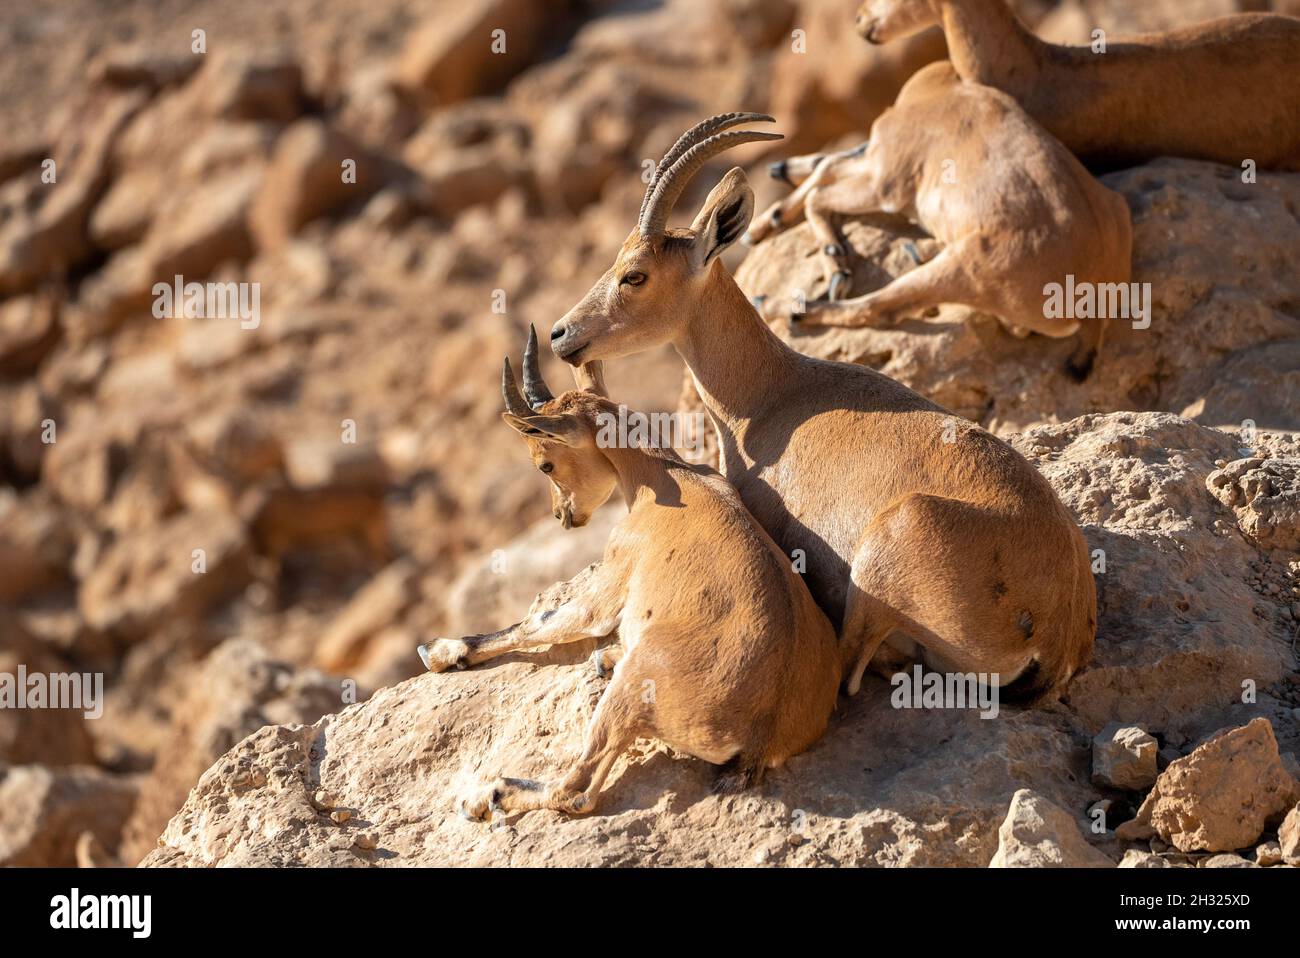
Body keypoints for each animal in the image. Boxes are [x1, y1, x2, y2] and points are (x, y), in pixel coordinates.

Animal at [418, 328, 840, 819]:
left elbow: (537, 624)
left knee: (578, 790)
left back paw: (491, 794)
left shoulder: (606, 588)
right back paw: (607, 658)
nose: (563, 515)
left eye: (545, 462)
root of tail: (764, 733)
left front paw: (442, 651)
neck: (669, 481)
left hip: (629, 697)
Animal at [549, 114, 1096, 701]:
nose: (561, 334)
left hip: (892, 543)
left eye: (634, 275)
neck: (770, 395)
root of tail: (1057, 632)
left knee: (847, 670)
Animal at [743, 61, 1133, 375]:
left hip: (960, 271)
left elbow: (820, 191)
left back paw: (784, 306)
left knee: (876, 307)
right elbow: (826, 171)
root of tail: (1094, 296)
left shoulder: (884, 185)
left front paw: (835, 266)